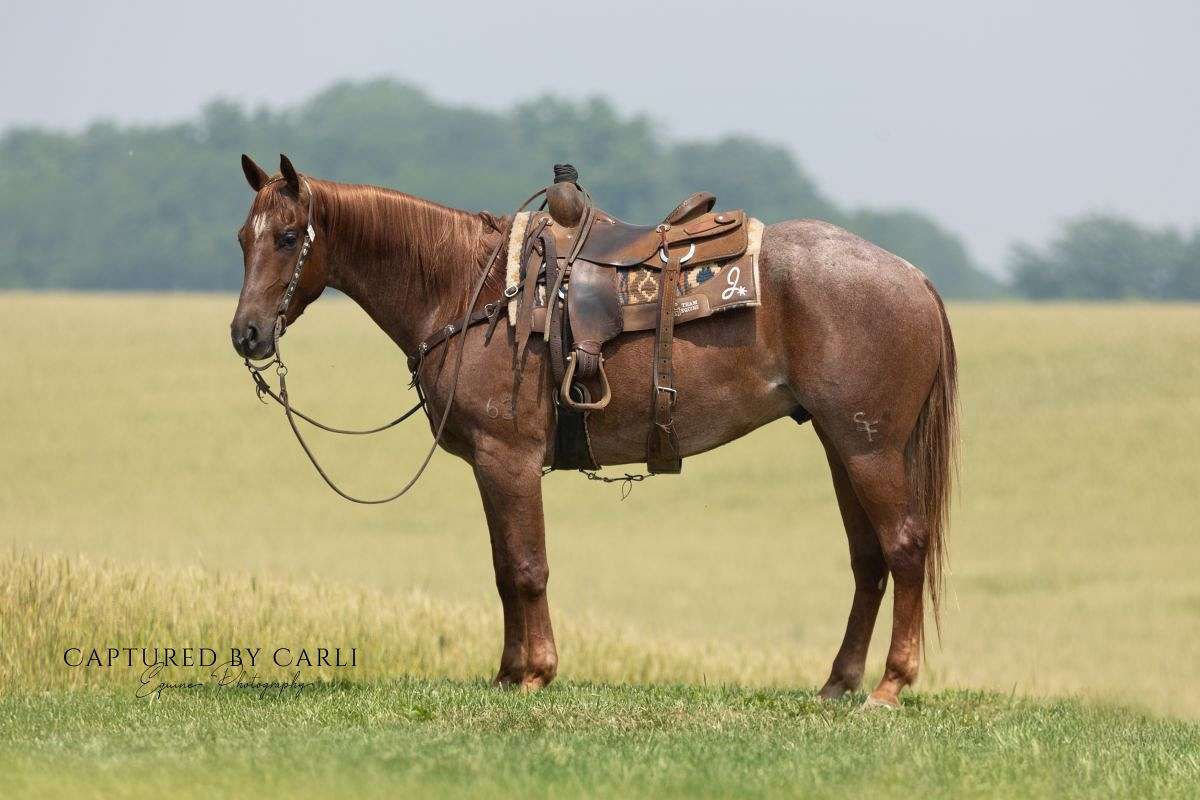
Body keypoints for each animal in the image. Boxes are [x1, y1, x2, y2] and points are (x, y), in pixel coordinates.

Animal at [230, 154, 958, 708]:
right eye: (244, 237)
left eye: (289, 238)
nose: (247, 333)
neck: (469, 288)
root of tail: (914, 277)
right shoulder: (490, 466)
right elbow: (504, 568)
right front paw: (508, 673)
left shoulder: (509, 458)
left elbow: (528, 567)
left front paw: (536, 673)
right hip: (842, 447)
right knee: (868, 560)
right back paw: (838, 683)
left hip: (870, 448)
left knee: (904, 546)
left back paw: (890, 686)